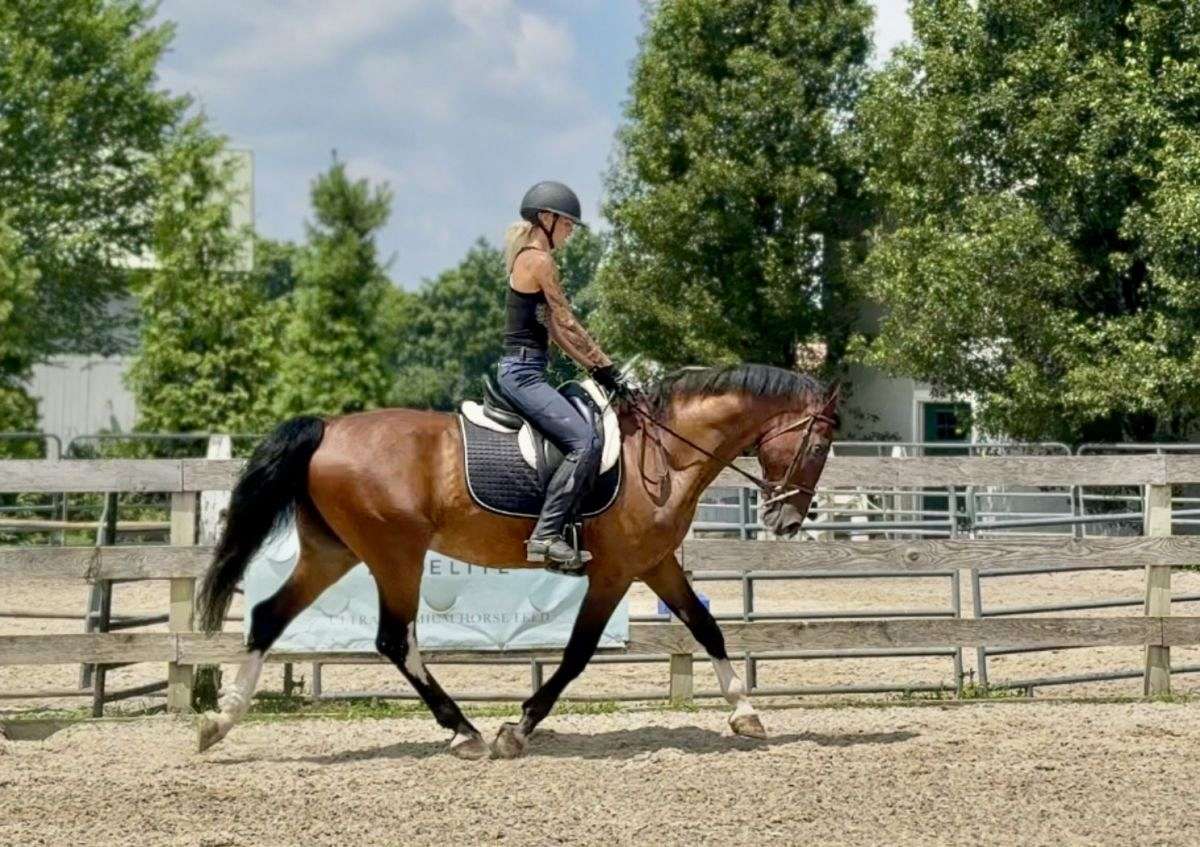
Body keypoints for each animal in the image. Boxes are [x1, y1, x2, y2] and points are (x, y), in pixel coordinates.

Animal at [195, 362, 840, 759]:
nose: (787, 520)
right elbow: (577, 654)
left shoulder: (655, 564)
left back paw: (219, 721)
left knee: (268, 618)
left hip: (334, 551)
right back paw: (464, 731)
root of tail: (327, 430)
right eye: (820, 443)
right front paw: (518, 729)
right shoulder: (614, 573)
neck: (663, 453)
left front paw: (746, 713)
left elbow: (707, 628)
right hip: (394, 554)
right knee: (393, 639)